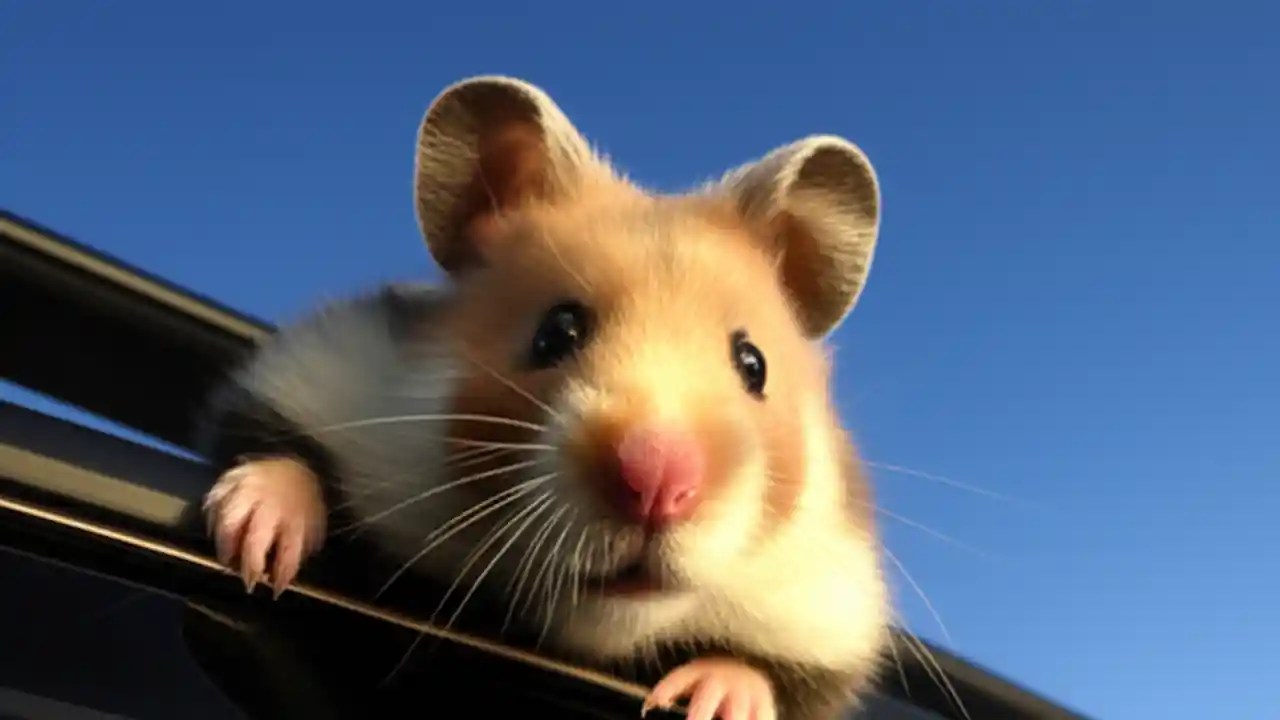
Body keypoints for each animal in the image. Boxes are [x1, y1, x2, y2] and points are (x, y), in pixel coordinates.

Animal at [198, 75, 890, 720]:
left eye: (753, 365)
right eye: (555, 331)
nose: (659, 484)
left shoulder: (830, 599)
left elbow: (777, 675)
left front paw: (715, 699)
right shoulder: (326, 371)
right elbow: (273, 448)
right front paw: (259, 551)